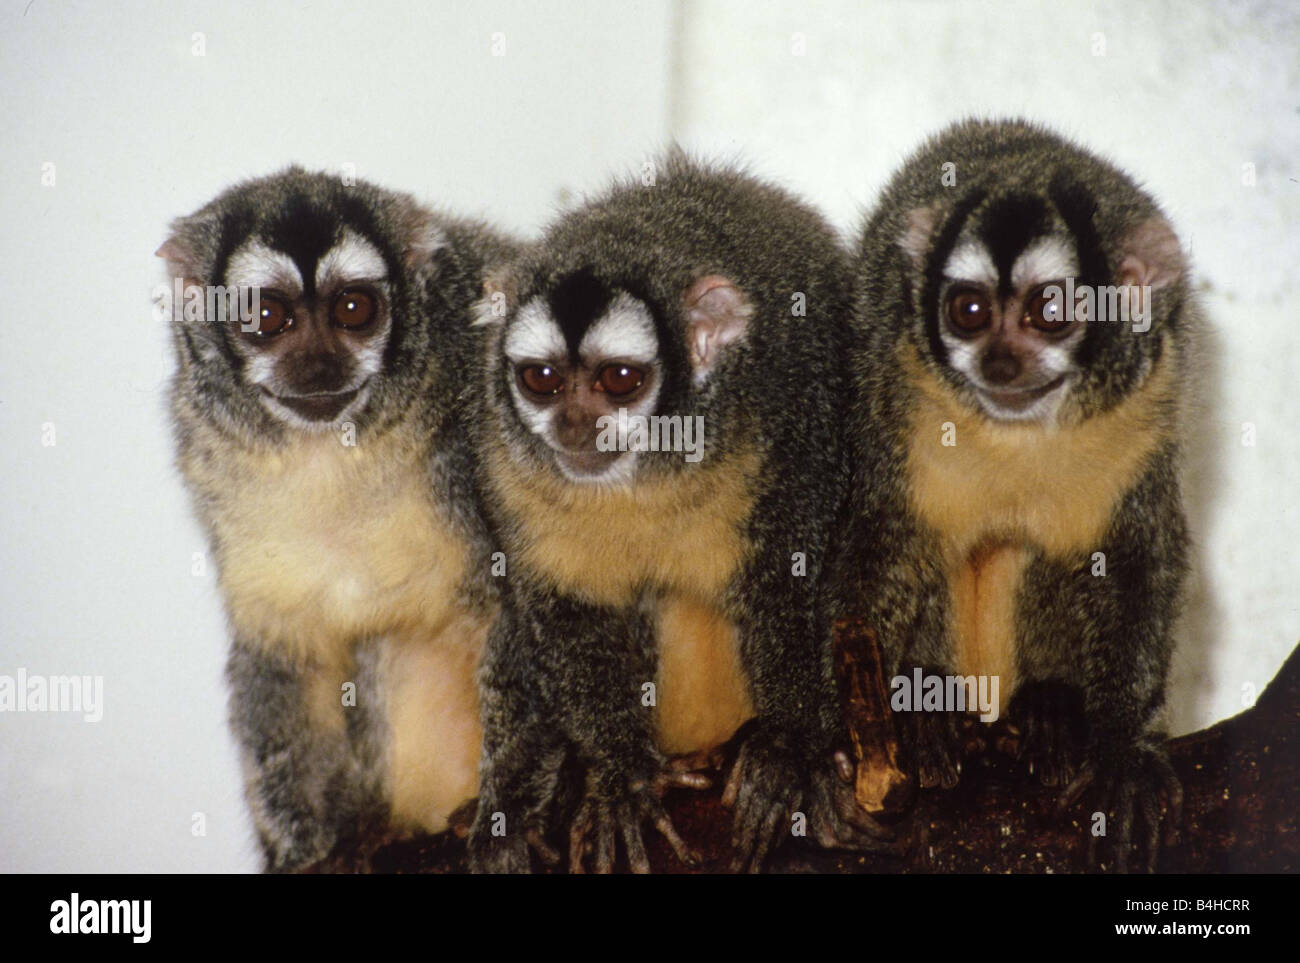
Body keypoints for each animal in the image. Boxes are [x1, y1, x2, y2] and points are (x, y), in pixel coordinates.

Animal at [156, 167, 517, 871]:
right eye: (268, 315)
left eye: (354, 309)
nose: (321, 365)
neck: (331, 451)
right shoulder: (213, 468)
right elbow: (286, 650)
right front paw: (315, 849)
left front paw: (510, 820)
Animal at [466, 152, 892, 874]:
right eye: (542, 379)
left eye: (618, 379)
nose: (574, 428)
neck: (648, 468)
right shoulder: (506, 467)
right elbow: (562, 607)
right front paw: (619, 778)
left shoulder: (785, 421)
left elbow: (791, 576)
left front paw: (791, 748)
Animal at [838, 118, 1196, 871]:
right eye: (969, 310)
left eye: (1048, 311)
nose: (1000, 362)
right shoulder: (892, 387)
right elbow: (878, 546)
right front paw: (822, 754)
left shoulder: (1150, 398)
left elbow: (1138, 556)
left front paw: (1124, 748)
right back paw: (929, 711)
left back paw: (1050, 709)